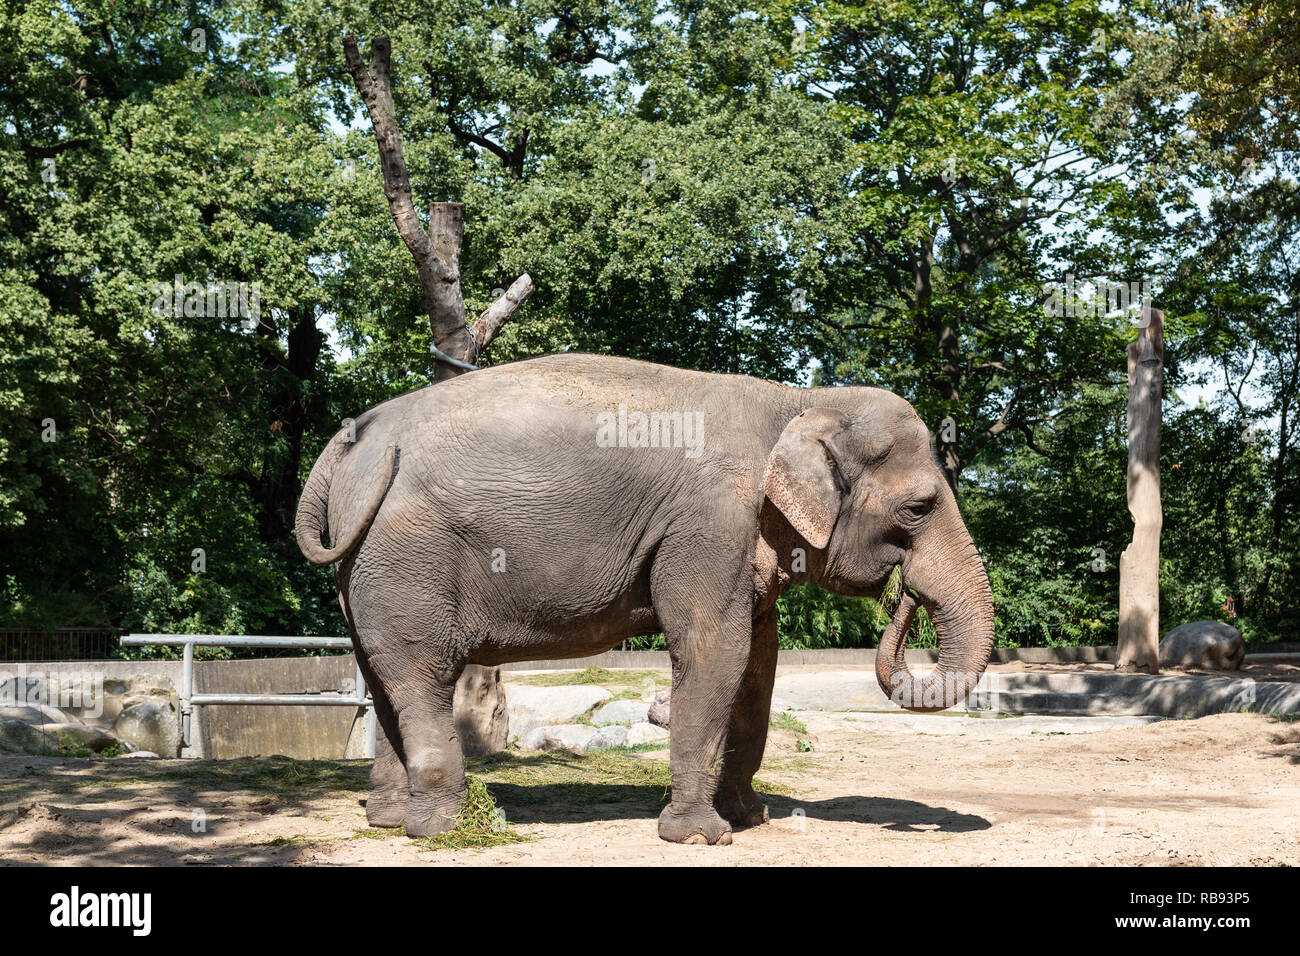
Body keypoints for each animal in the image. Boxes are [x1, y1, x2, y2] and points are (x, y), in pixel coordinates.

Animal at [295, 353, 995, 845]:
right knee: (421, 671)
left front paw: (752, 818)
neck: (797, 402)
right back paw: (449, 827)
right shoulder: (710, 523)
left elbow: (759, 664)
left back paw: (388, 819)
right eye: (919, 508)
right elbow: (715, 650)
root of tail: (346, 444)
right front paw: (701, 836)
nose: (905, 596)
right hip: (406, 555)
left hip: (365, 566)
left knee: (378, 668)